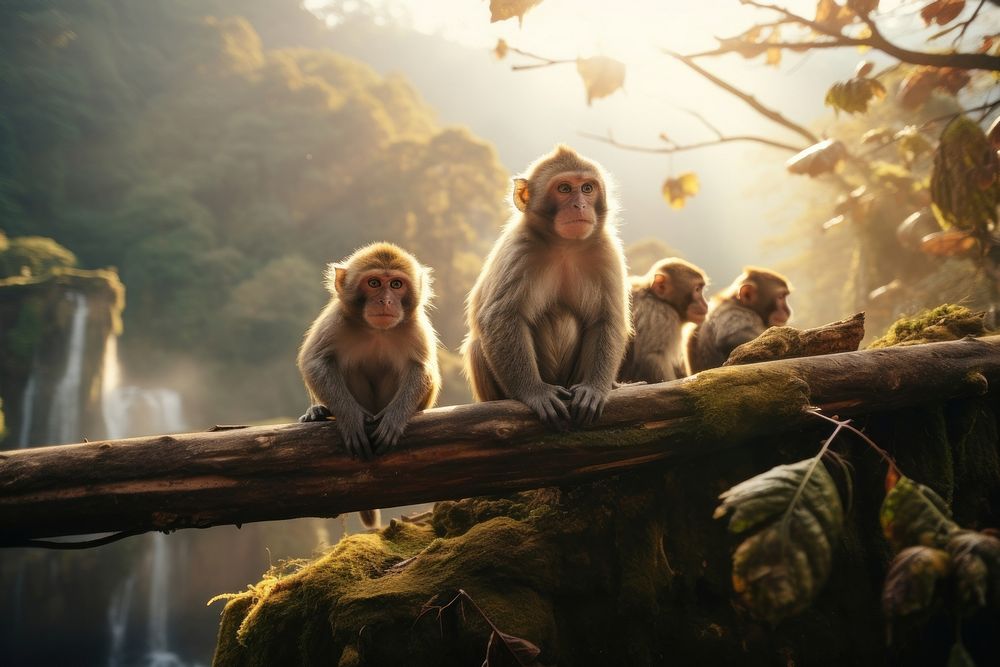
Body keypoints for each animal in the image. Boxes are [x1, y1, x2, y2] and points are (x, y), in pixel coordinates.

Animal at [461, 145, 631, 430]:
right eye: (564, 188)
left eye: (587, 188)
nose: (579, 205)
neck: (565, 246)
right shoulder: (520, 251)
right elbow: (500, 318)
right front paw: (534, 391)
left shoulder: (607, 253)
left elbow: (606, 319)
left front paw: (595, 388)